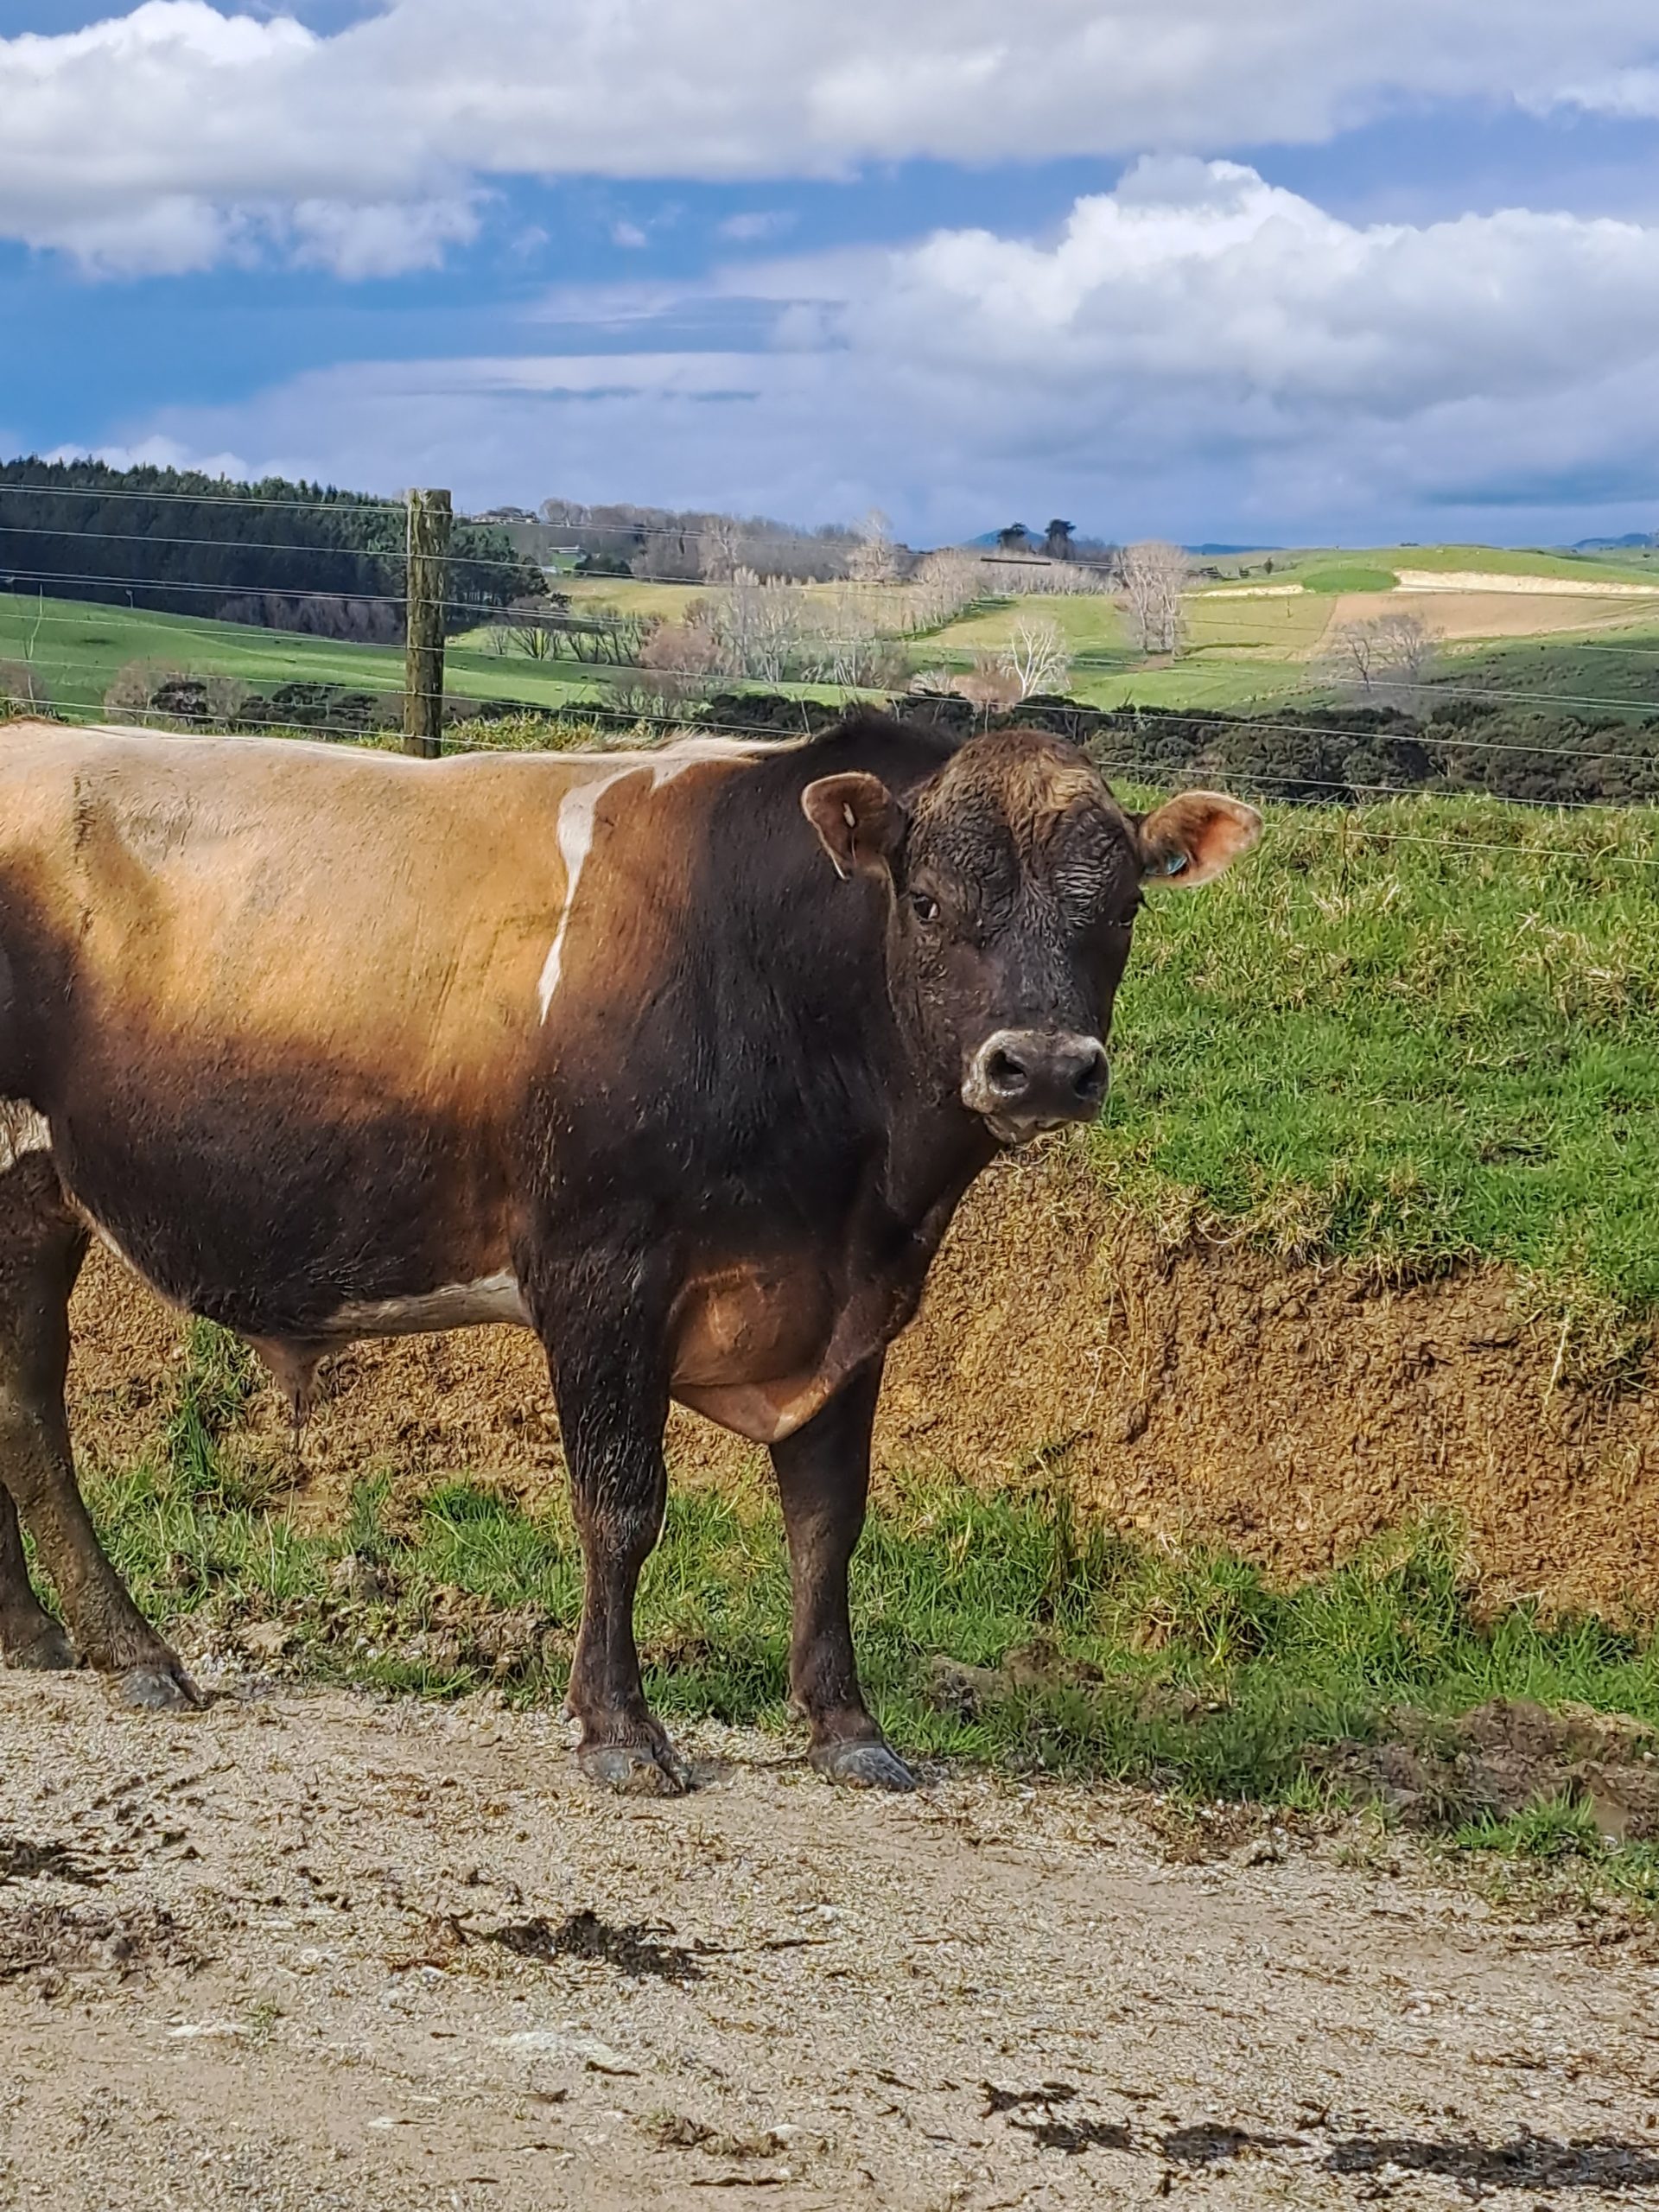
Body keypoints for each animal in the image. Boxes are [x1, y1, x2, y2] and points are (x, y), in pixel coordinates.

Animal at [0, 711, 1259, 1793]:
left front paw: (845, 1724)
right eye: (932, 900)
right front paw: (619, 1725)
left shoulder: (850, 1306)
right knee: (29, 1409)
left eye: (1124, 911)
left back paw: (31, 1630)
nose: (1040, 1066)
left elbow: (828, 1516)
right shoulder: (601, 1272)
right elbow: (621, 1503)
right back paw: (129, 1645)